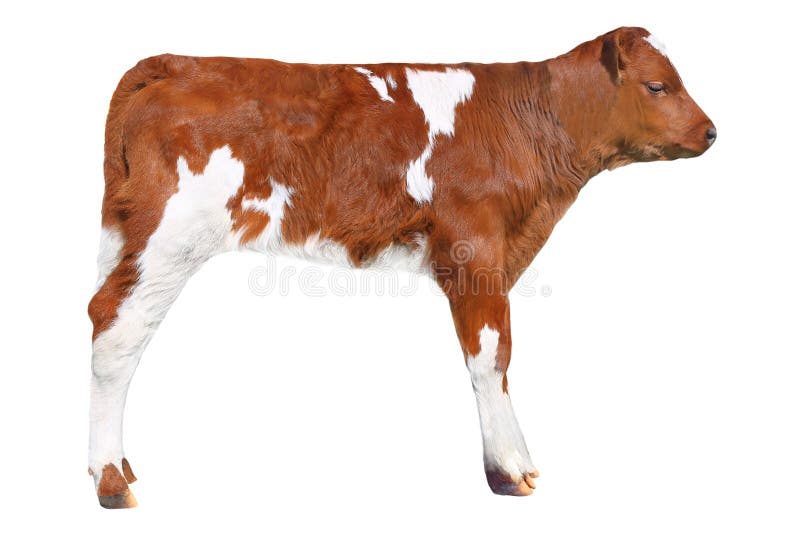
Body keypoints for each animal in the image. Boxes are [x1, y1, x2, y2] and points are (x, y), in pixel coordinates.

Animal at [87, 26, 715, 508]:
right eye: (657, 85)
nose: (711, 131)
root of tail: (174, 63)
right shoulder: (475, 251)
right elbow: (492, 358)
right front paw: (510, 471)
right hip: (168, 239)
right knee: (116, 333)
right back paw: (112, 482)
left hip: (125, 235)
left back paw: (115, 467)